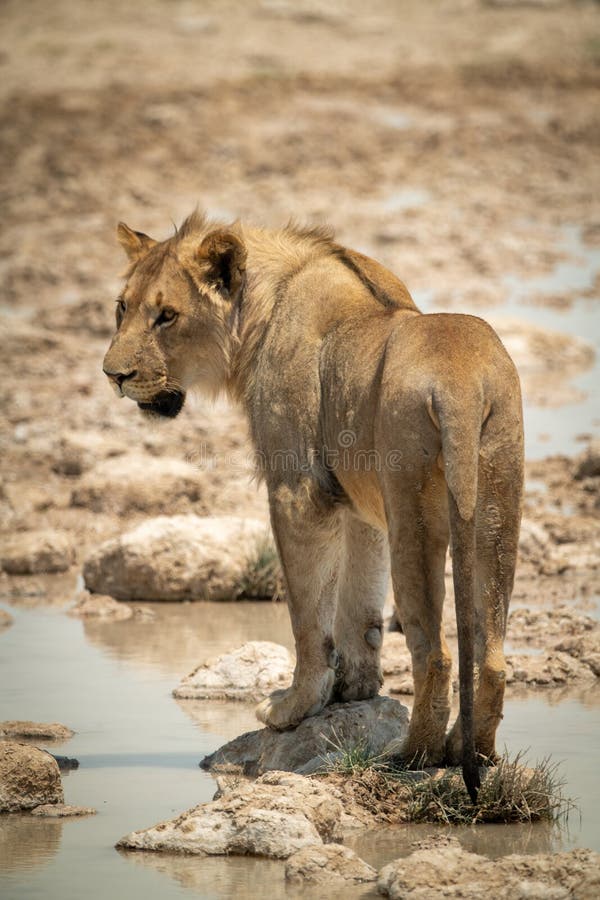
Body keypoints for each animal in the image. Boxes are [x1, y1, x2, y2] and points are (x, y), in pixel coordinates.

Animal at [103, 212, 523, 801]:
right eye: (123, 307)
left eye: (167, 315)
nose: (112, 375)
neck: (260, 309)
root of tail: (459, 382)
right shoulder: (362, 504)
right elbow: (359, 607)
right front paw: (354, 689)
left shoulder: (298, 491)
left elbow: (307, 617)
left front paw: (292, 708)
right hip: (495, 508)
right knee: (491, 655)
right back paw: (474, 751)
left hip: (416, 514)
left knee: (435, 652)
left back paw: (414, 757)